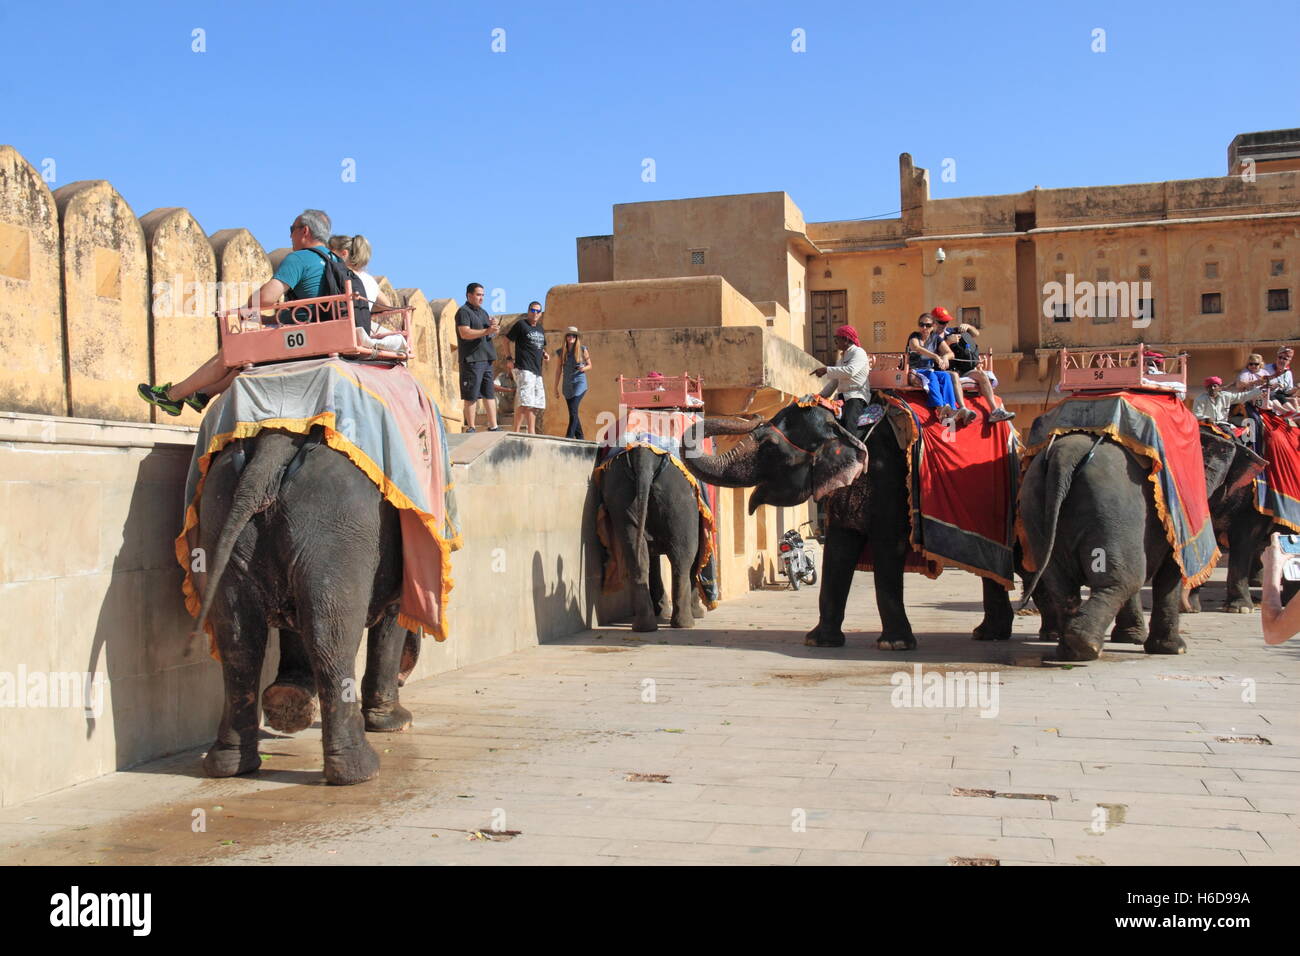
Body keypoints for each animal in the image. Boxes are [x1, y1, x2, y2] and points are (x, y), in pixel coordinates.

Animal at [190, 426, 415, 785]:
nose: (406, 677)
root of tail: (271, 450)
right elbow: (393, 615)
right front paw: (396, 723)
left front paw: (291, 703)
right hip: (336, 525)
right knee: (333, 638)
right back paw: (359, 773)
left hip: (218, 514)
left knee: (239, 640)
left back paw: (231, 764)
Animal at [596, 445, 710, 631]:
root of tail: (644, 454)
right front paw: (698, 613)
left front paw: (662, 612)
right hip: (679, 497)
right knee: (684, 555)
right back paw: (685, 624)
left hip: (619, 493)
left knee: (636, 553)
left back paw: (644, 626)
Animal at [683, 402, 1015, 650]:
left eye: (769, 447)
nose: (755, 415)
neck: (847, 425)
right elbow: (839, 549)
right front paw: (819, 641)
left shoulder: (889, 475)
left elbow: (887, 543)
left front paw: (894, 644)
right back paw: (989, 634)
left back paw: (987, 633)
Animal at [1019, 424, 1246, 661]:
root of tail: (1063, 457)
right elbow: (1170, 571)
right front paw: (1174, 649)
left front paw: (1130, 638)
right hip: (1111, 508)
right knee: (1126, 578)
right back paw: (1086, 647)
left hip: (1034, 505)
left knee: (1060, 583)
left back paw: (1068, 651)